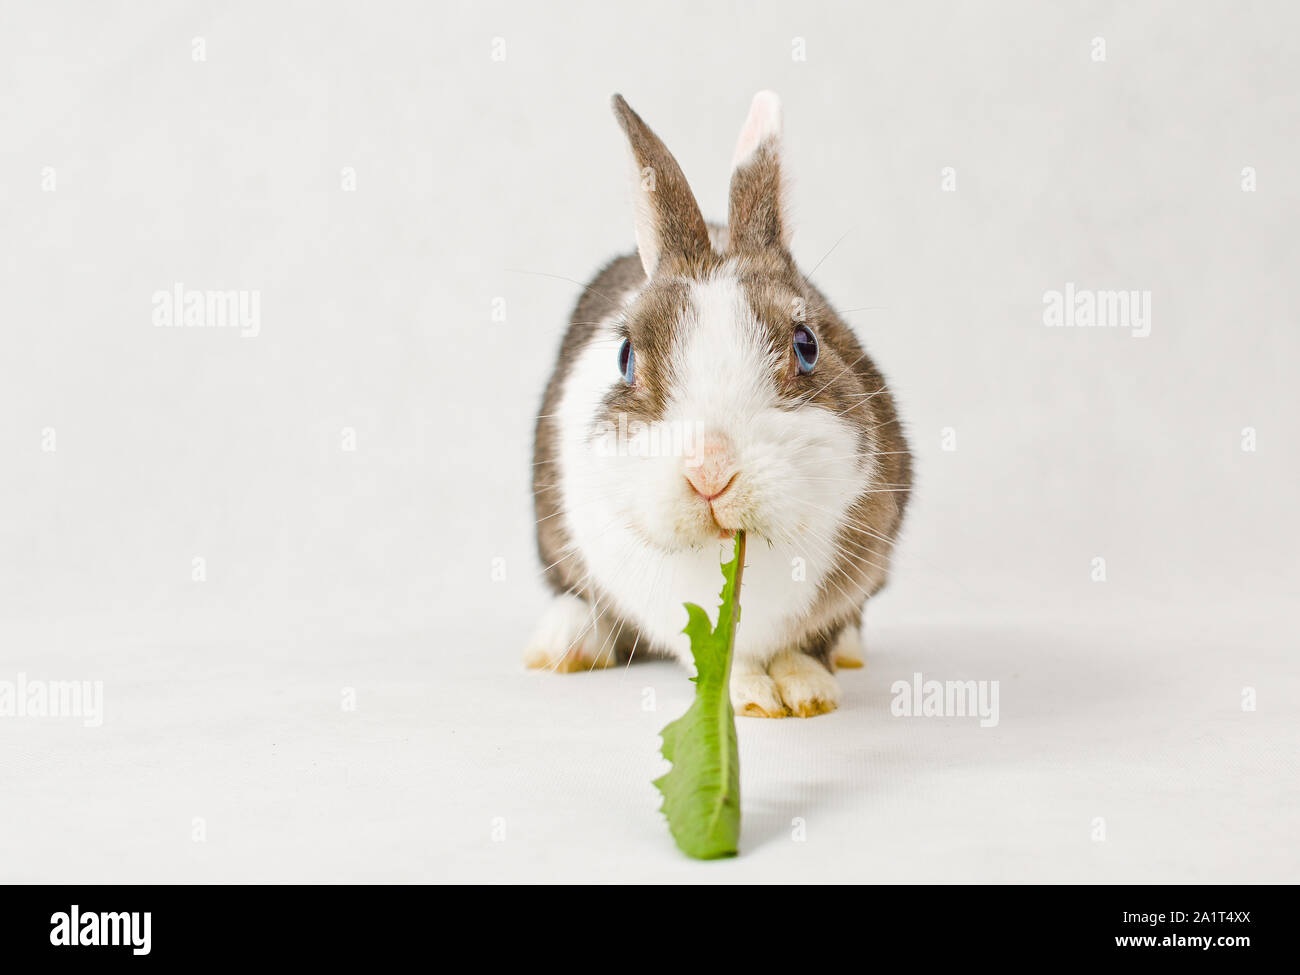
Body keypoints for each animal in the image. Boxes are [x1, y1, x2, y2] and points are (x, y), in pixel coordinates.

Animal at [527, 91, 911, 718]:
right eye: (625, 357)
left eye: (807, 345)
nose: (710, 469)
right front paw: (751, 694)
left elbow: (809, 643)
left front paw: (807, 690)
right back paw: (564, 644)